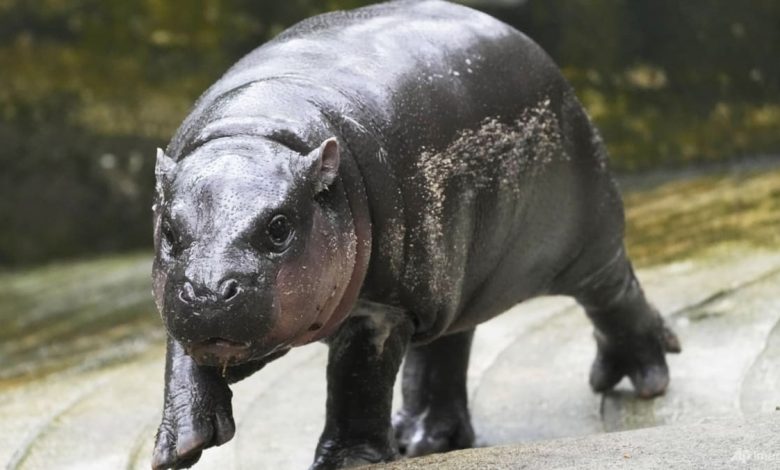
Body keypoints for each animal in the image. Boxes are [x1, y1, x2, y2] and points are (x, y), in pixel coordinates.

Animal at [150, 1, 681, 468]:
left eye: (279, 227)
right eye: (169, 230)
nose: (208, 292)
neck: (256, 131)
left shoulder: (384, 306)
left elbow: (358, 381)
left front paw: (348, 462)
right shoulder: (177, 297)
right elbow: (181, 358)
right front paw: (179, 447)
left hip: (583, 239)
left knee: (614, 293)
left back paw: (642, 378)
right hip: (454, 279)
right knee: (445, 349)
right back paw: (424, 439)